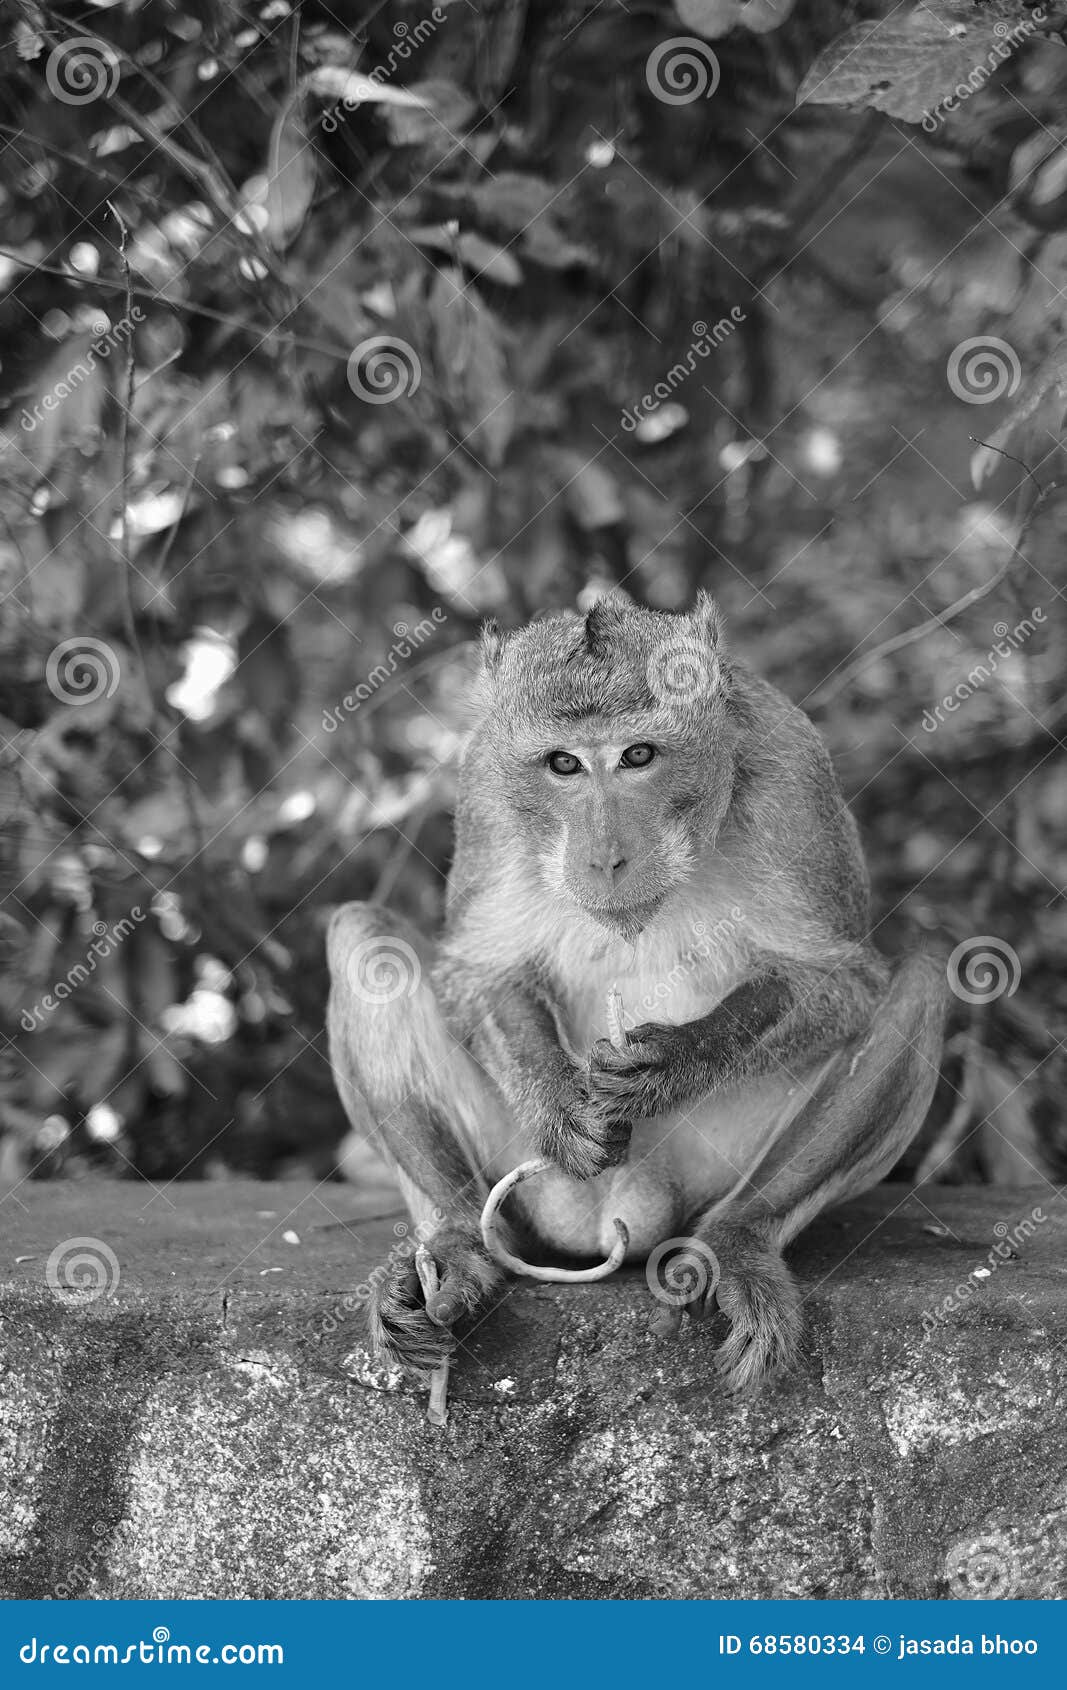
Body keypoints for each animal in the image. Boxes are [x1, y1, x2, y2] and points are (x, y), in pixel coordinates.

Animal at [326, 591, 946, 1393]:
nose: (605, 857)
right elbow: (482, 969)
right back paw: (454, 1247)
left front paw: (673, 1062)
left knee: (923, 978)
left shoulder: (792, 773)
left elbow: (839, 981)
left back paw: (737, 1241)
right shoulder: (484, 785)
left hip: (709, 1167)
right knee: (365, 942)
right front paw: (560, 1105)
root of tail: (615, 1211)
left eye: (639, 756)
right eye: (563, 764)